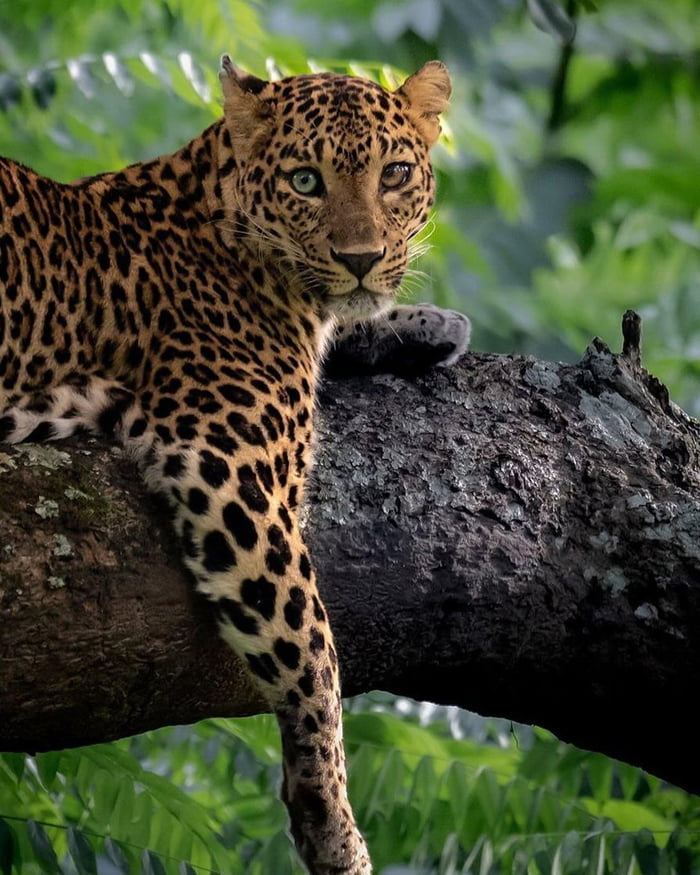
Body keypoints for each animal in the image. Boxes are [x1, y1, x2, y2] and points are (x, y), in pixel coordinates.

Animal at [0, 56, 470, 874]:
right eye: (306, 180)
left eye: (396, 173)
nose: (361, 259)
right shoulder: (227, 464)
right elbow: (313, 648)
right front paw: (333, 824)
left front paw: (424, 323)